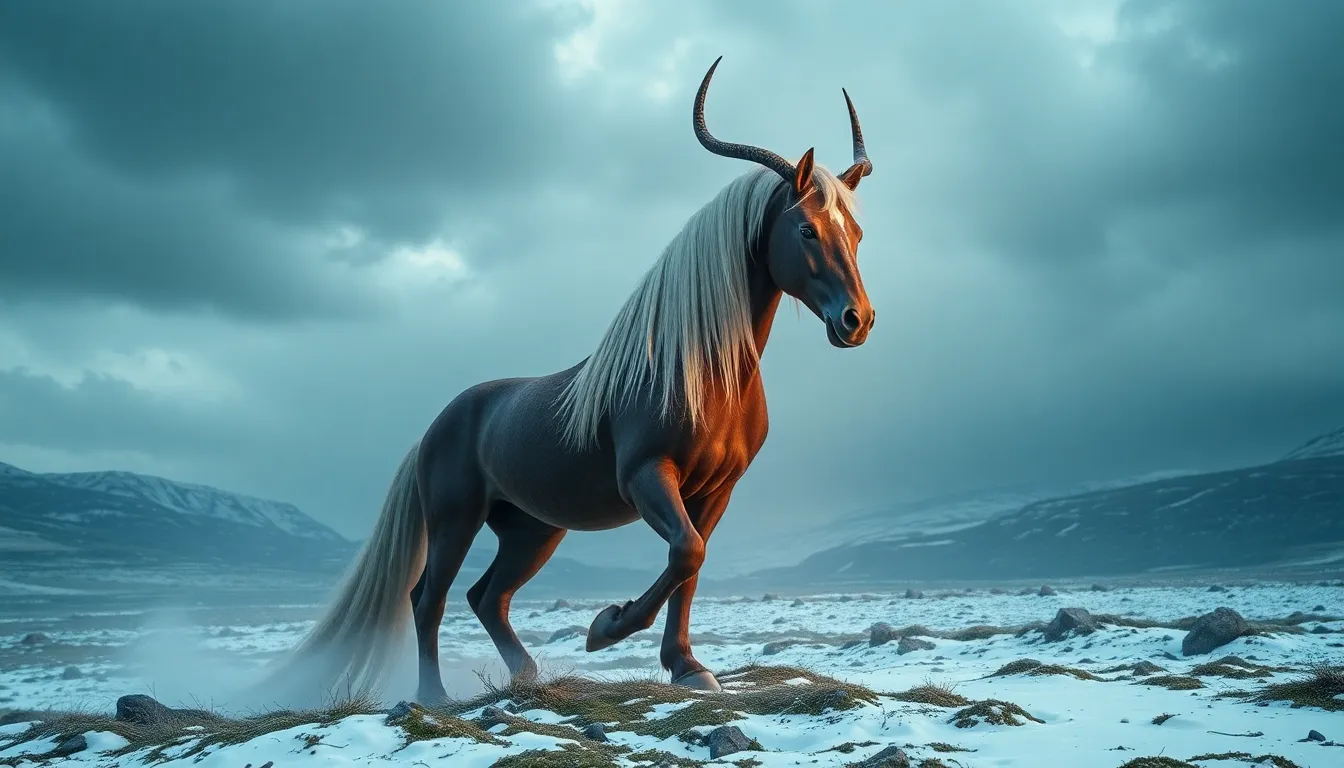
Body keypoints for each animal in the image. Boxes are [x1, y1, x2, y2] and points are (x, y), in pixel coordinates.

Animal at [267, 56, 877, 705]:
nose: (856, 320)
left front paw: (687, 667)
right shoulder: (646, 477)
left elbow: (692, 563)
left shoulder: (716, 492)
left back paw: (526, 673)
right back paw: (435, 695)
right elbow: (685, 552)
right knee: (428, 598)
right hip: (456, 521)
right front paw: (606, 627)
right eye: (807, 230)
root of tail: (433, 430)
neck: (704, 373)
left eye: (856, 234)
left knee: (487, 596)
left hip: (532, 531)